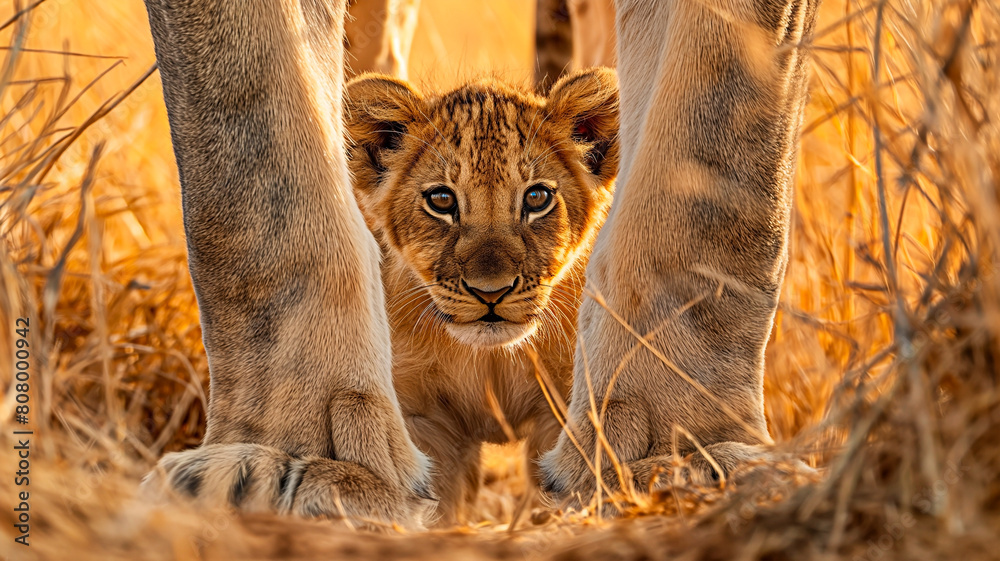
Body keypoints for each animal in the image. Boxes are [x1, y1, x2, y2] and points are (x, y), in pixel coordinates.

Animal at [141, 0, 818, 529]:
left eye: (537, 198)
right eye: (442, 201)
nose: (491, 290)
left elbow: (718, 177)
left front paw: (688, 456)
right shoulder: (427, 416)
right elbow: (253, 179)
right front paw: (276, 463)